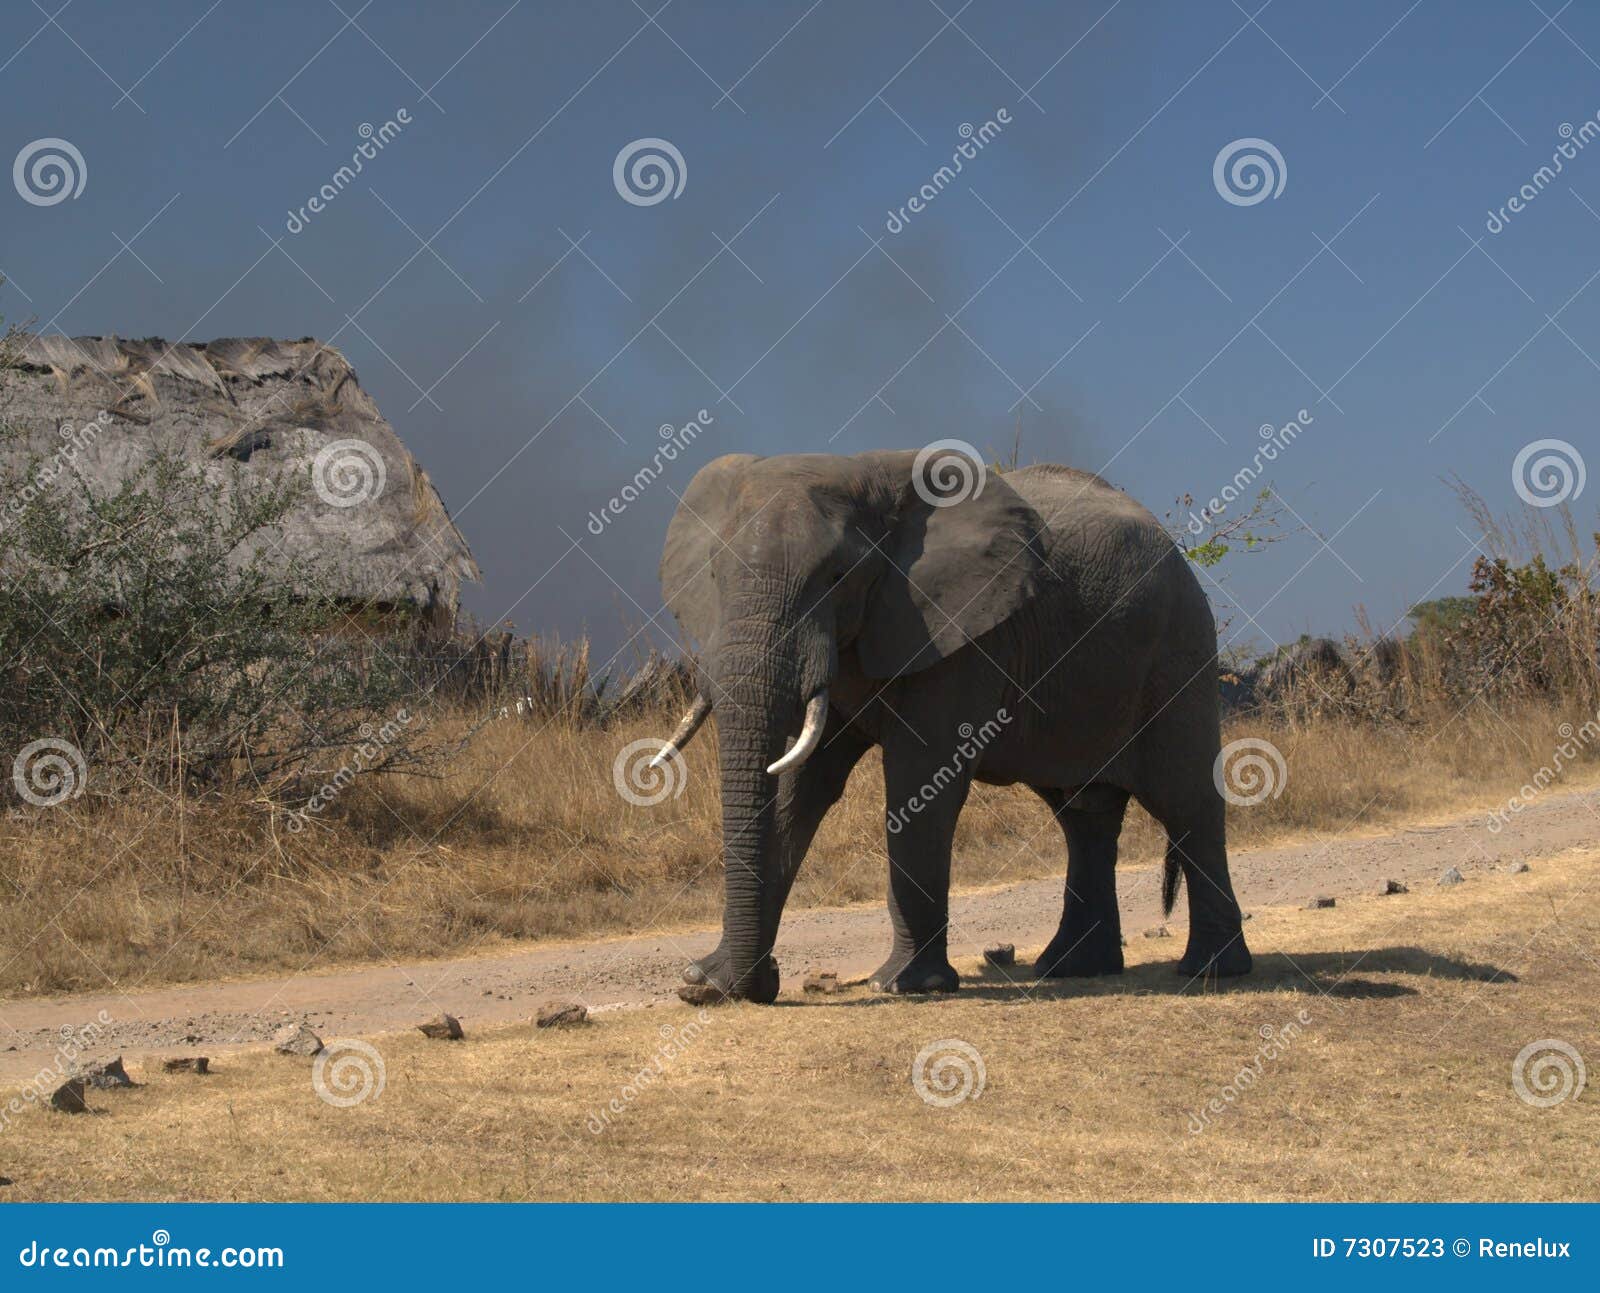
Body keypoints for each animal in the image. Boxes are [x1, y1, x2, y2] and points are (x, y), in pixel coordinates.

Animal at [652, 448, 1252, 1003]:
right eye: (714, 576)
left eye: (839, 577)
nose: (764, 984)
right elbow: (801, 789)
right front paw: (706, 985)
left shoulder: (961, 636)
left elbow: (920, 781)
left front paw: (904, 985)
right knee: (1083, 817)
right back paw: (1071, 967)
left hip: (1179, 650)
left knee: (1186, 801)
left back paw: (1211, 970)